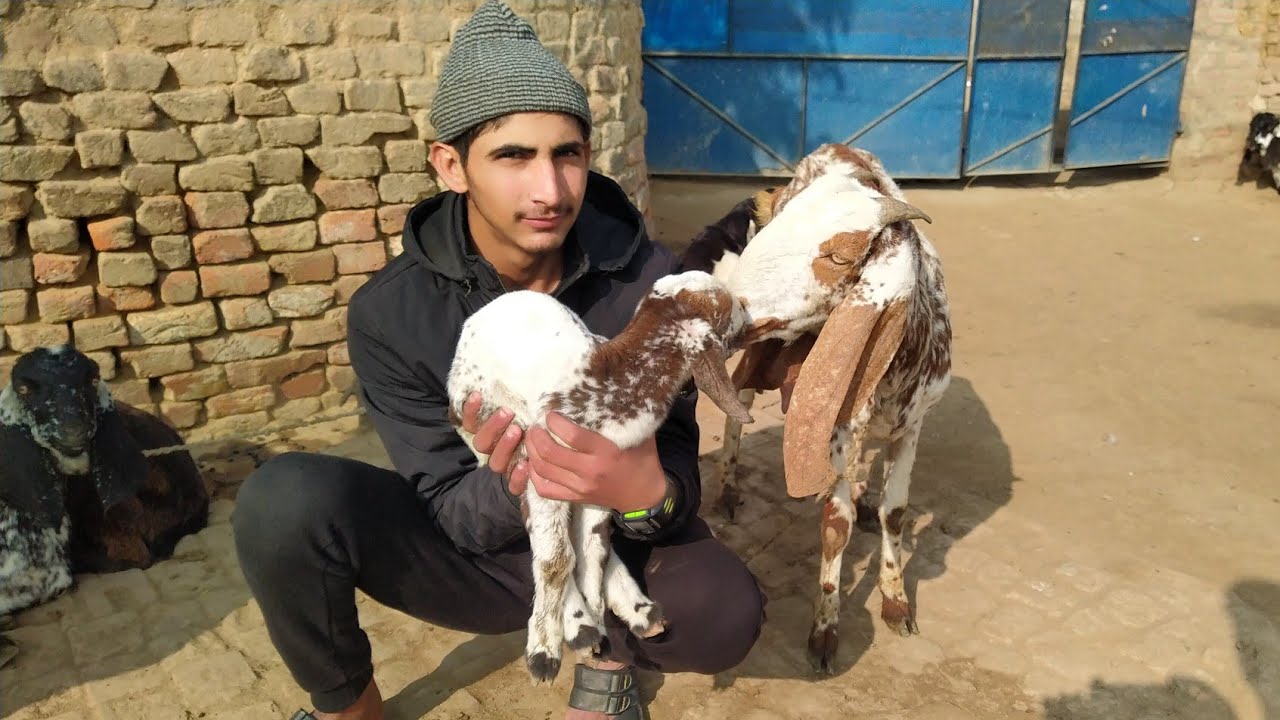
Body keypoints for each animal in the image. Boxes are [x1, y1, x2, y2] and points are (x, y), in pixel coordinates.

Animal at [447, 270, 754, 683]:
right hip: (488, 422)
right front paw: (545, 651)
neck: (613, 375)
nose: (749, 315)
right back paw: (581, 627)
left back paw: (637, 614)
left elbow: (591, 552)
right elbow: (557, 559)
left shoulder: (599, 483)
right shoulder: (545, 466)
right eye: (727, 304)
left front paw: (596, 619)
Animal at [719, 143, 951, 673]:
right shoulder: (839, 433)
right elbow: (835, 526)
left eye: (840, 255)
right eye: (780, 219)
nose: (728, 302)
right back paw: (726, 489)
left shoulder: (913, 425)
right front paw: (824, 629)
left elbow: (895, 512)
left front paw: (896, 601)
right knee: (737, 401)